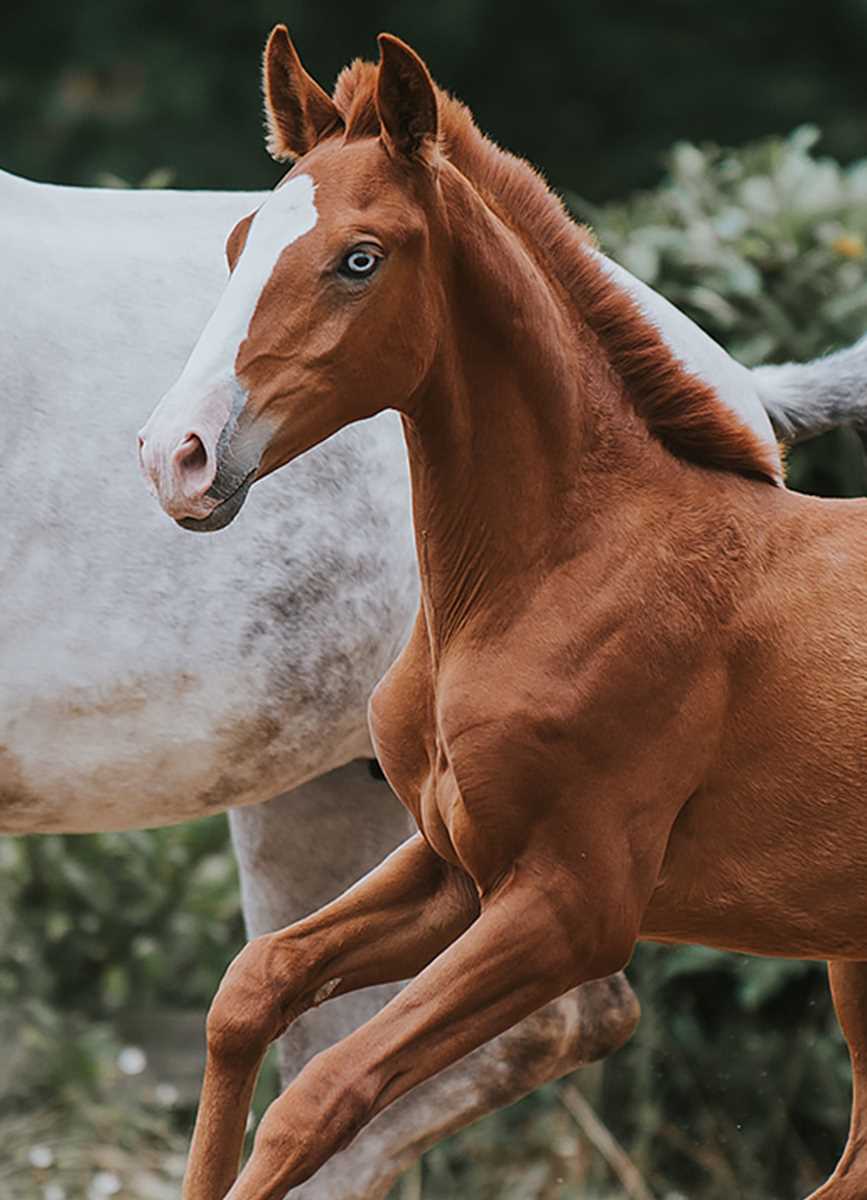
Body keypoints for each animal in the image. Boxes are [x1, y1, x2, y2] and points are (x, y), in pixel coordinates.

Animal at [138, 29, 867, 1200]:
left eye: (360, 259)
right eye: (240, 241)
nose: (178, 456)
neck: (550, 573)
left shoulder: (574, 906)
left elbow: (322, 1093)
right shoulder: (453, 866)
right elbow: (251, 987)